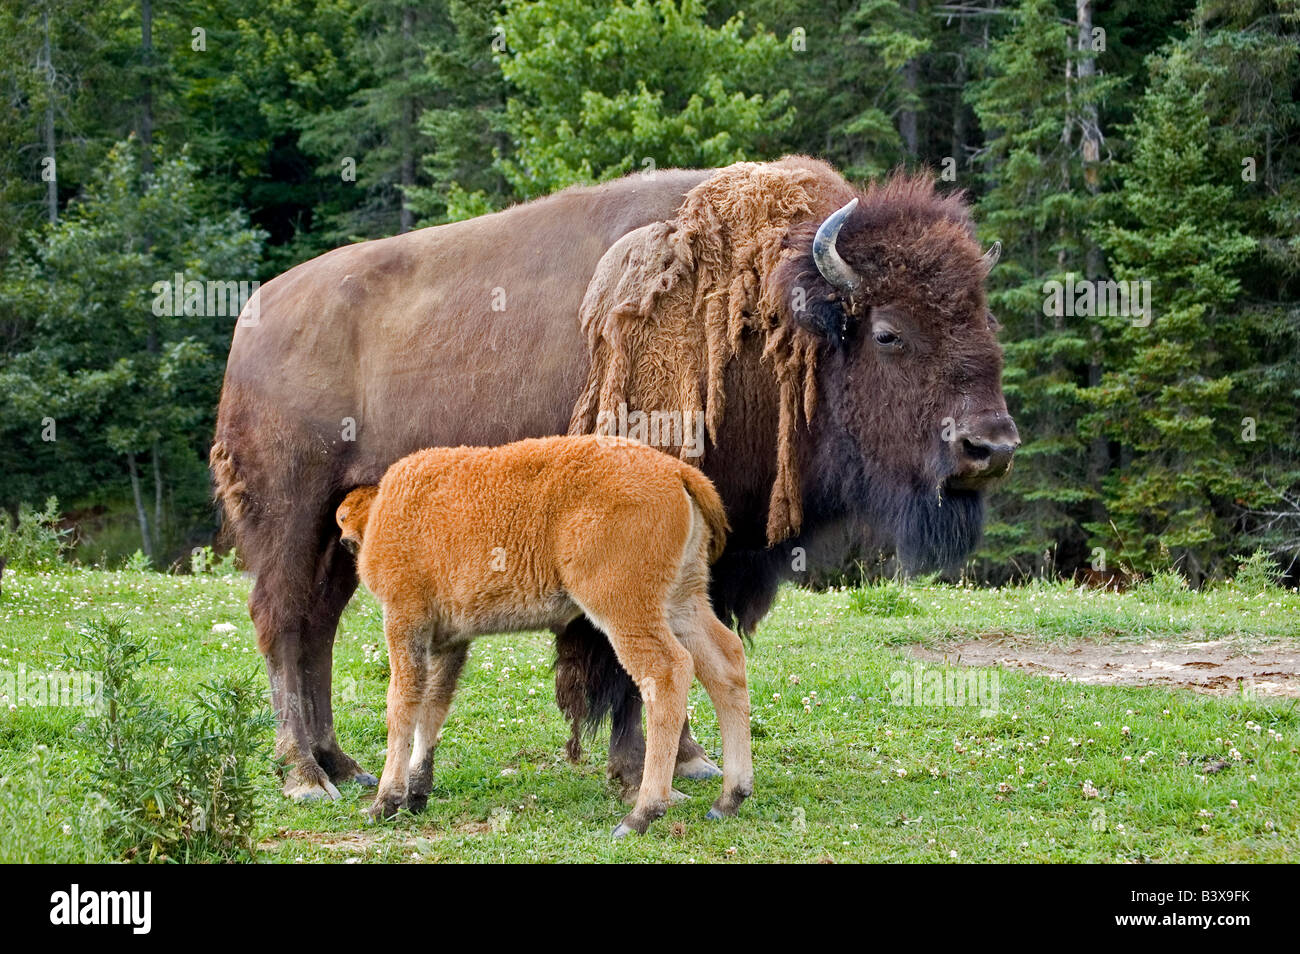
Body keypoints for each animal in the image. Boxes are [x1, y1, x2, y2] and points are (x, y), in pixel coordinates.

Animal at [336, 435, 750, 835]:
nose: (346, 544)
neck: (386, 511)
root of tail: (676, 471)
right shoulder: (449, 642)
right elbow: (432, 708)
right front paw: (418, 794)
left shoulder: (405, 625)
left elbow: (402, 705)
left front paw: (385, 802)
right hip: (681, 600)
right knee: (726, 662)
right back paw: (730, 799)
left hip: (626, 608)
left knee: (666, 672)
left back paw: (641, 815)